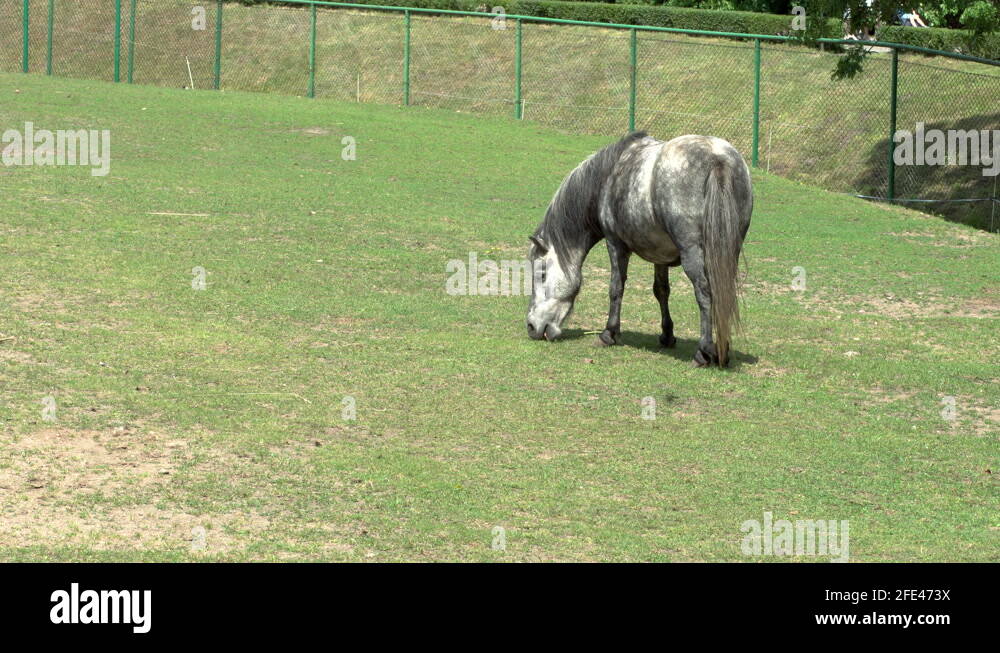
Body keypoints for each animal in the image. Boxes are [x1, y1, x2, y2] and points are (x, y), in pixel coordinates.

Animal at [525, 132, 753, 367]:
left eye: (541, 274)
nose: (531, 327)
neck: (608, 177)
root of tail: (717, 158)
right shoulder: (660, 256)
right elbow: (661, 291)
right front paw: (667, 336)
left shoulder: (615, 244)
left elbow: (616, 288)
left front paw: (609, 334)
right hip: (728, 253)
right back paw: (722, 350)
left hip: (693, 254)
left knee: (705, 293)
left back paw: (703, 352)